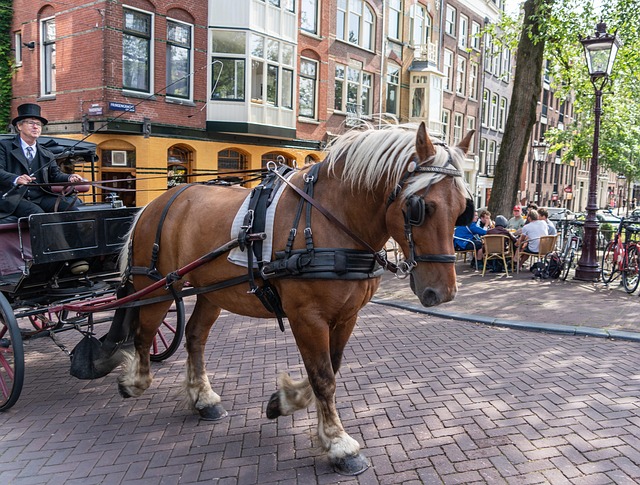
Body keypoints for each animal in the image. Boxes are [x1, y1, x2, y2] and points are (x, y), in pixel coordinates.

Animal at [116, 122, 474, 475]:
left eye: (462, 210)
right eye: (419, 209)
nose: (443, 293)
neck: (332, 218)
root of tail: (155, 203)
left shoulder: (346, 316)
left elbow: (331, 368)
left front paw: (283, 401)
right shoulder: (307, 316)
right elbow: (323, 377)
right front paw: (339, 444)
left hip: (210, 292)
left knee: (194, 336)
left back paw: (204, 399)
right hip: (158, 285)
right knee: (145, 333)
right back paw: (134, 382)